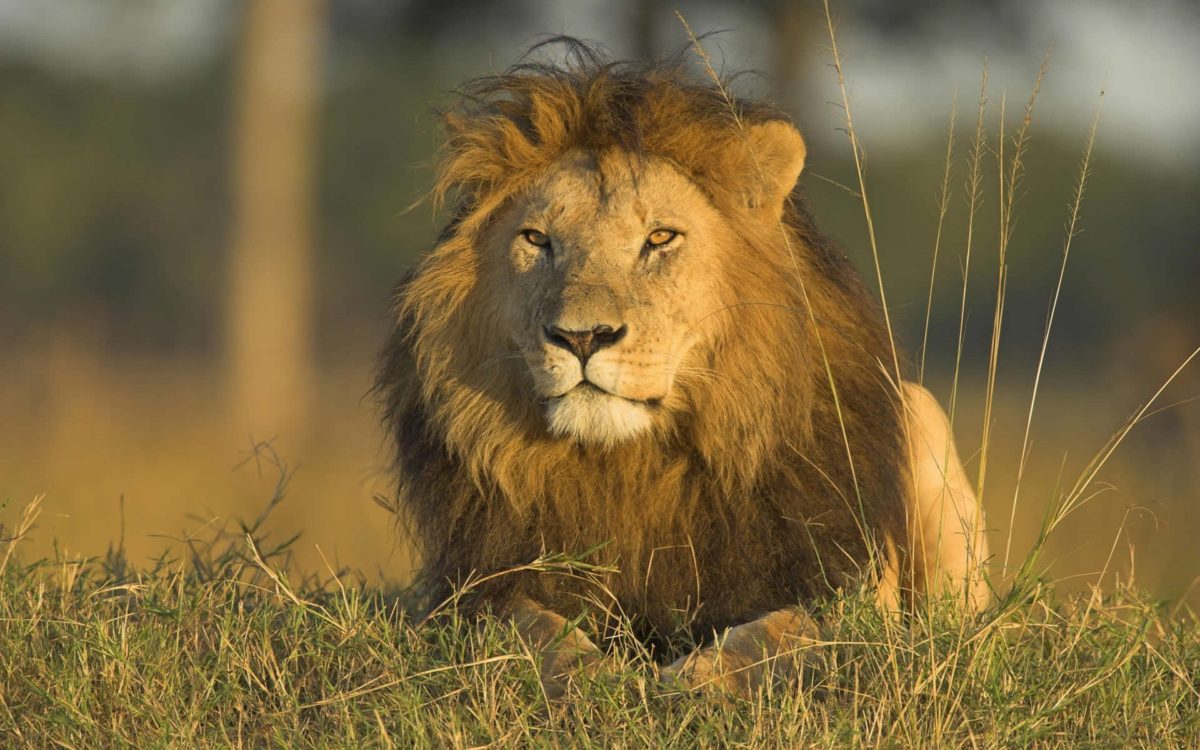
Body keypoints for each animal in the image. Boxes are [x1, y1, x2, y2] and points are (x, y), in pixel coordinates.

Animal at [377, 43, 989, 698]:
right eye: (537, 239)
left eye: (660, 238)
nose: (582, 337)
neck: (630, 466)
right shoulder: (476, 584)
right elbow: (529, 625)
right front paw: (591, 675)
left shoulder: (839, 584)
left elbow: (782, 631)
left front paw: (699, 680)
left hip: (923, 418)